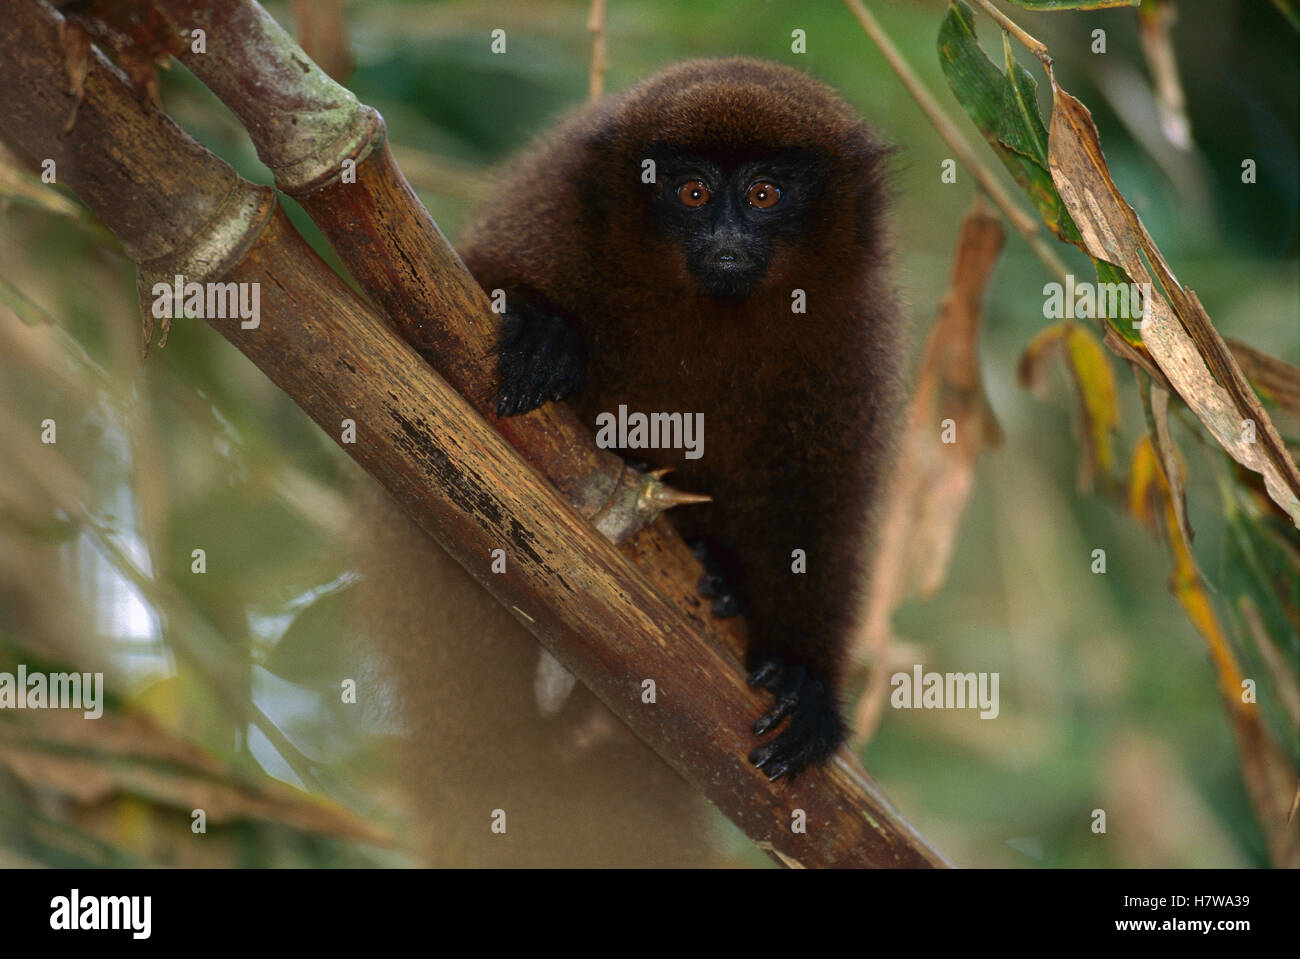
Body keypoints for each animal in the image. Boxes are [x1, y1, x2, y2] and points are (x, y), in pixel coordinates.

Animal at [460, 57, 903, 781]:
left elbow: (820, 504)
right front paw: (541, 331)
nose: (726, 241)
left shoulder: (856, 330)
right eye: (693, 193)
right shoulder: (558, 203)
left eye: (763, 196)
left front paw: (806, 681)